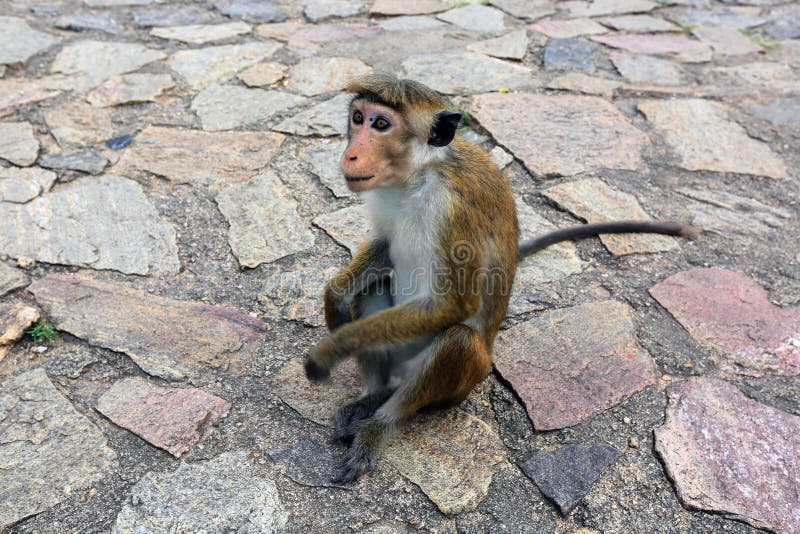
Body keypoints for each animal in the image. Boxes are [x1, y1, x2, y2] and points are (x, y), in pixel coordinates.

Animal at [303, 73, 695, 483]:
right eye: (358, 118)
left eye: (381, 124)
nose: (350, 154)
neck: (417, 176)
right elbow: (381, 247)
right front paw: (334, 298)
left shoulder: (454, 210)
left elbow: (455, 304)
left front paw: (333, 347)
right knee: (370, 294)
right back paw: (372, 397)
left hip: (461, 383)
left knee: (458, 340)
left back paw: (381, 423)